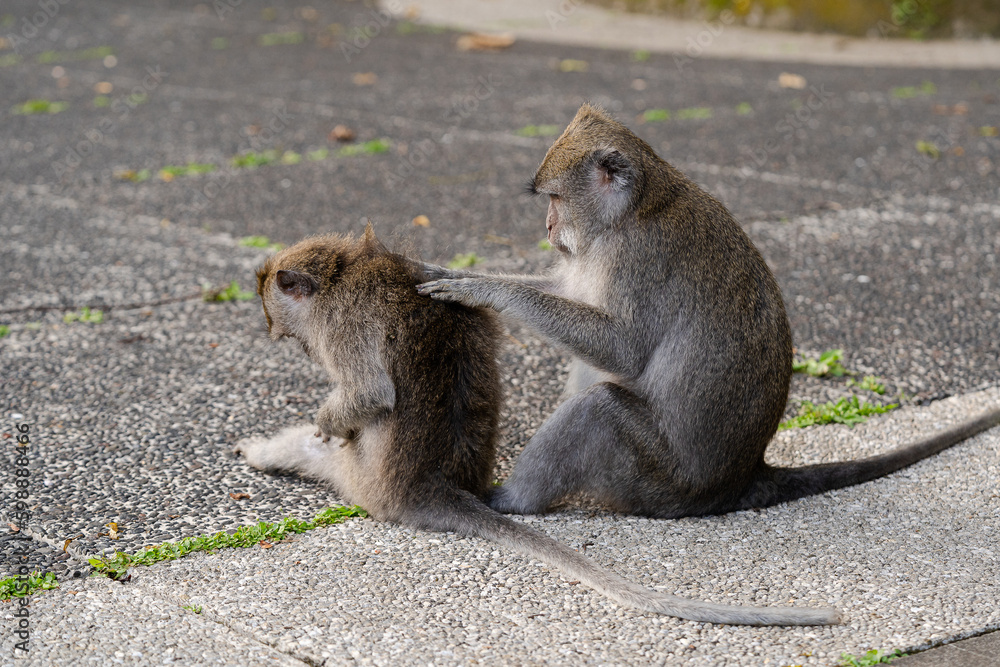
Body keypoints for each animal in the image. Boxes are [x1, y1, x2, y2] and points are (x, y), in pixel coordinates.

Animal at [233, 225, 840, 626]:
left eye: (290, 335)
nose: (293, 346)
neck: (342, 272)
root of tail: (428, 485)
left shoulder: (344, 325)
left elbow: (368, 394)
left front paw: (328, 418)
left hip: (359, 480)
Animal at [417, 103, 1000, 520]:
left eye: (555, 199)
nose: (546, 226)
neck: (632, 210)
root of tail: (743, 476)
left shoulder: (639, 259)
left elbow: (622, 350)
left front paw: (484, 290)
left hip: (655, 479)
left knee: (599, 409)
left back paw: (512, 500)